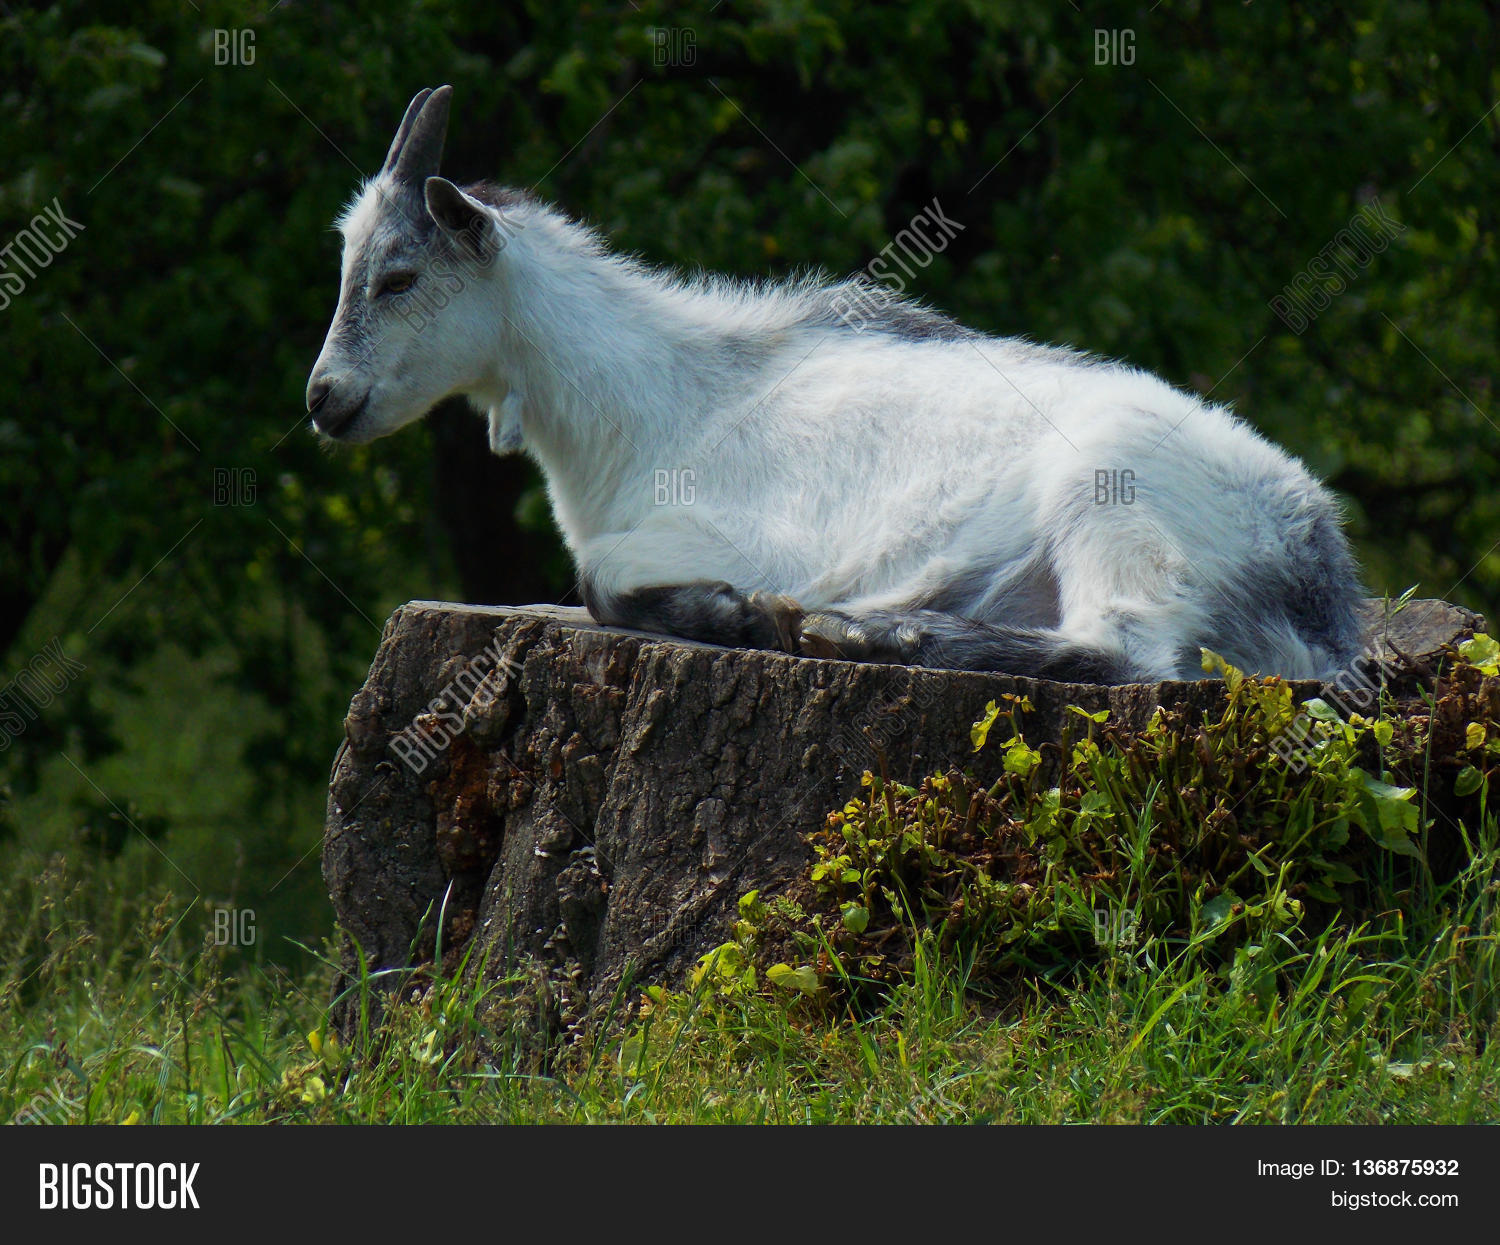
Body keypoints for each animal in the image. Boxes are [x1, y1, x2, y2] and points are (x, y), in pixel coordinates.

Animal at [307, 86, 1366, 684]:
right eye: (346, 263)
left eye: (397, 276)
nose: (322, 398)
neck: (662, 394)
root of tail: (1322, 572)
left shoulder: (744, 535)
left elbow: (600, 575)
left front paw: (735, 613)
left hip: (1114, 497)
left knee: (1129, 653)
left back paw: (858, 632)